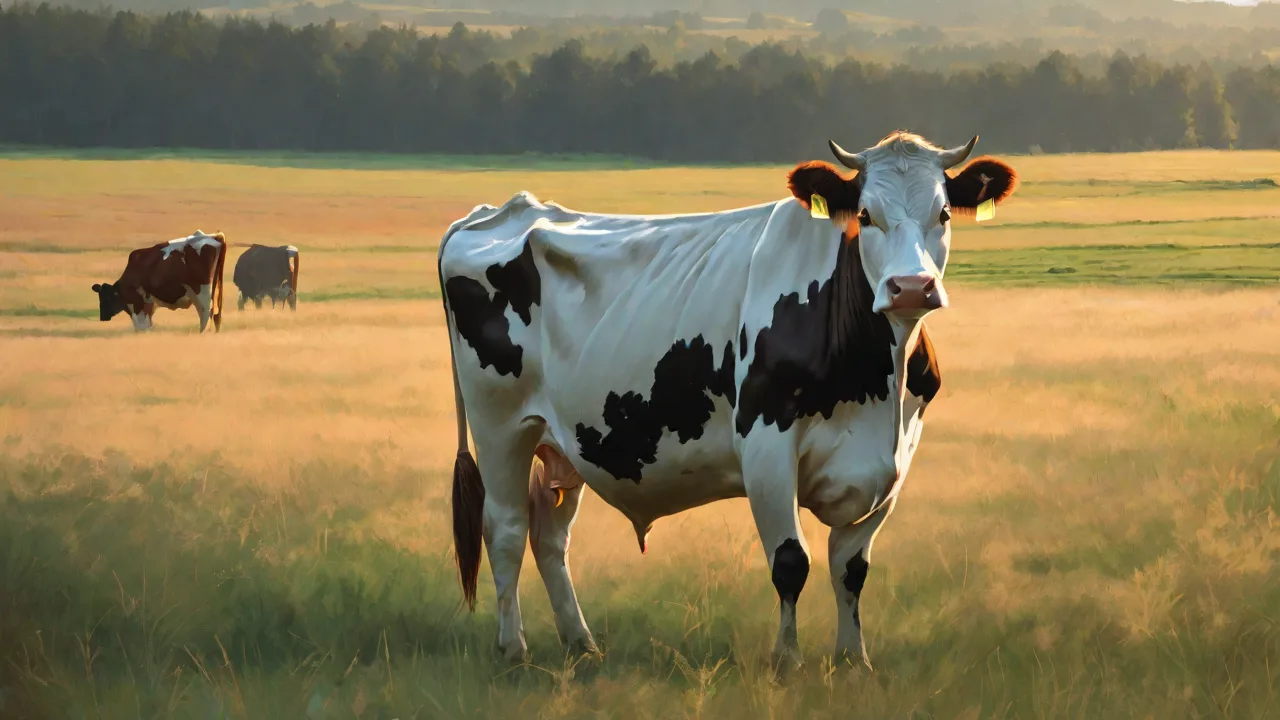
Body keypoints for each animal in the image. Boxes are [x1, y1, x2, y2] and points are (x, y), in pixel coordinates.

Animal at [91, 230, 226, 332]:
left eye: (106, 297)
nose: (102, 317)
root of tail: (216, 236)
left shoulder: (138, 303)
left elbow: (141, 325)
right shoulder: (149, 303)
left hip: (203, 293)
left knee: (206, 312)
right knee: (216, 315)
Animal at [438, 131, 1018, 671]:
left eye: (943, 212)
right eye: (866, 215)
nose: (911, 287)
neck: (876, 386)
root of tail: (500, 212)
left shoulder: (896, 458)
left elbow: (851, 569)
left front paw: (854, 661)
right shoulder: (765, 444)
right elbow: (791, 561)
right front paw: (786, 662)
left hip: (564, 440)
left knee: (550, 534)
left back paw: (582, 645)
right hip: (501, 425)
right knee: (506, 528)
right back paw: (513, 650)